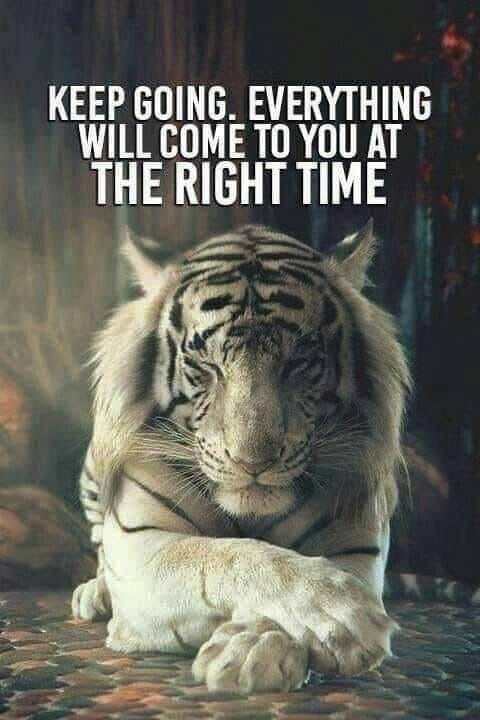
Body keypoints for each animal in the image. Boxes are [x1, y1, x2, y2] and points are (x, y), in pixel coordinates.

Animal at [73, 220, 414, 694]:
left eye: (299, 362)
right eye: (205, 365)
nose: (253, 462)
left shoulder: (355, 545)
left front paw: (254, 649)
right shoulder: (143, 545)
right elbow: (229, 556)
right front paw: (341, 615)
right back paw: (94, 593)